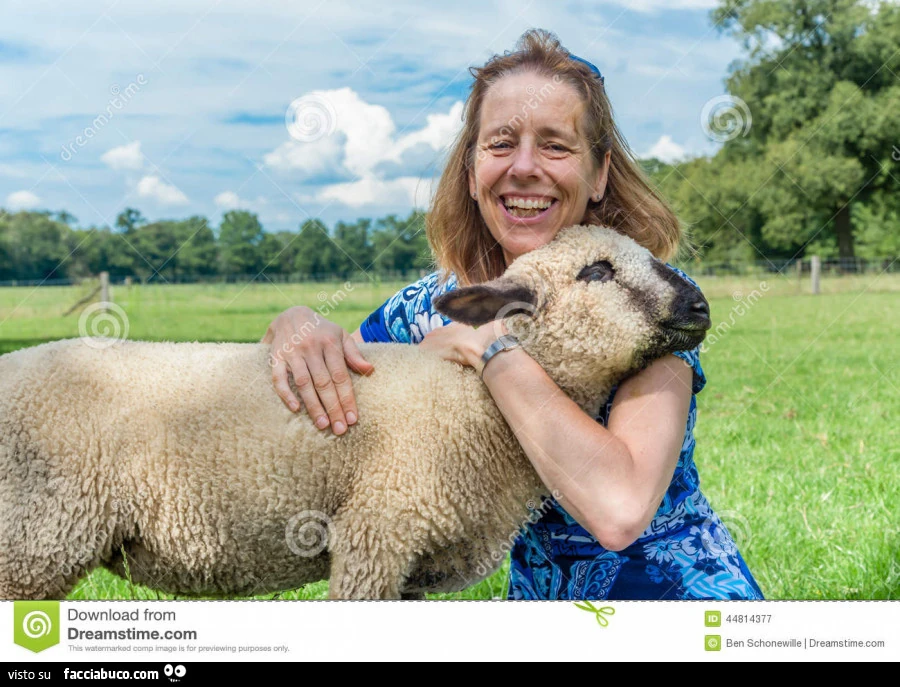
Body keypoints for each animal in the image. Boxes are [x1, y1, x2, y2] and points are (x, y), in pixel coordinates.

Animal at [0, 224, 711, 600]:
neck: (473, 404)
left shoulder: (415, 567)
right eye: (597, 271)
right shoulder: (377, 533)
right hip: (33, 537)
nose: (699, 305)